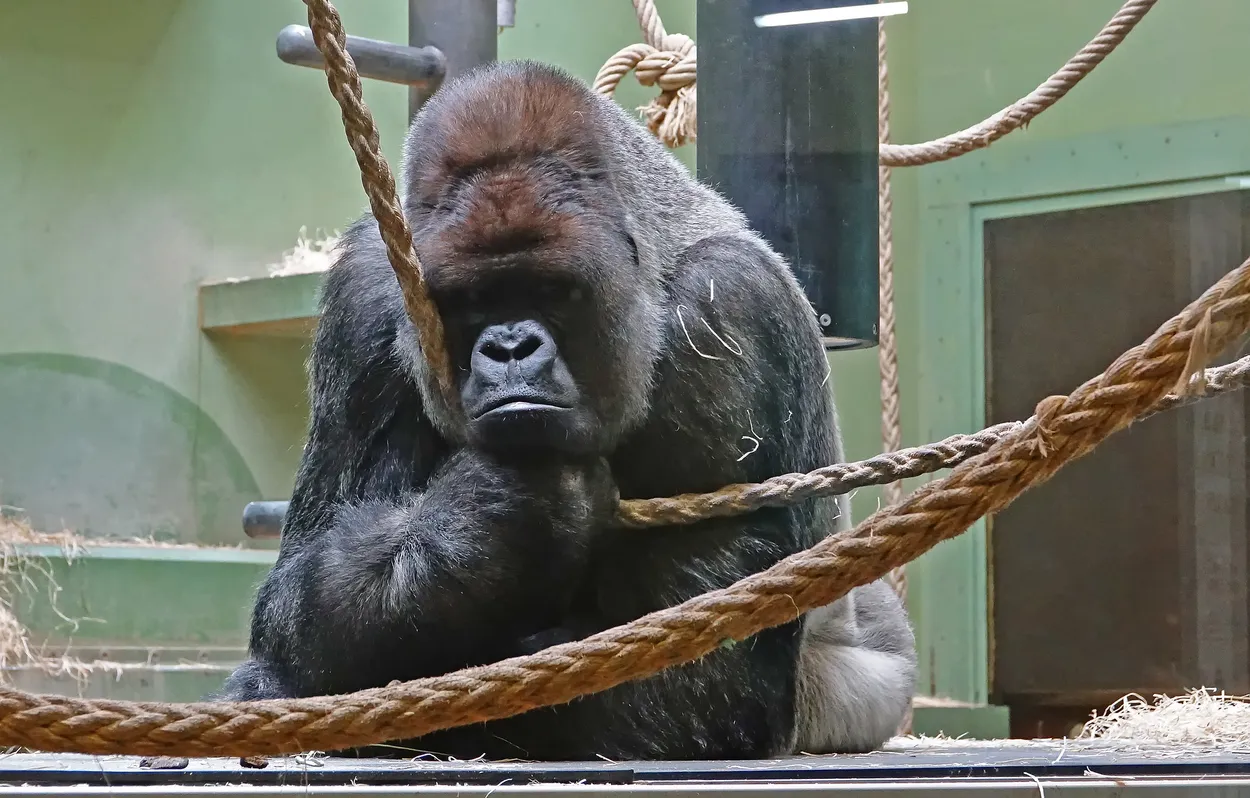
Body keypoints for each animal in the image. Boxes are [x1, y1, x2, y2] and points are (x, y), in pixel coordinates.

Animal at [213, 59, 916, 761]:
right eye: (469, 300)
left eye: (554, 290)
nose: (510, 347)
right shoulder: (363, 292)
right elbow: (302, 595)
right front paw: (494, 512)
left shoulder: (731, 303)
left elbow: (701, 670)